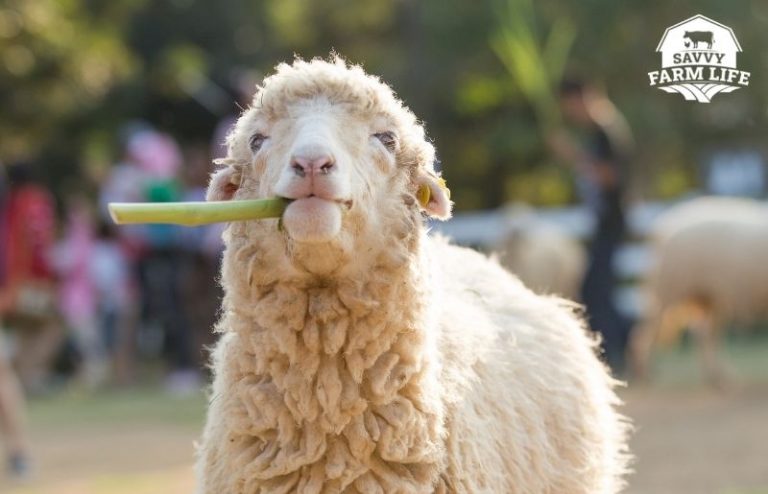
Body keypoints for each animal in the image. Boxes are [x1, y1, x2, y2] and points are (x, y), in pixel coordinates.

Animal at [630, 196, 768, 387]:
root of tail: (663, 227)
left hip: (707, 296)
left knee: (705, 336)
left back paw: (717, 377)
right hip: (670, 290)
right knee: (643, 334)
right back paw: (644, 374)